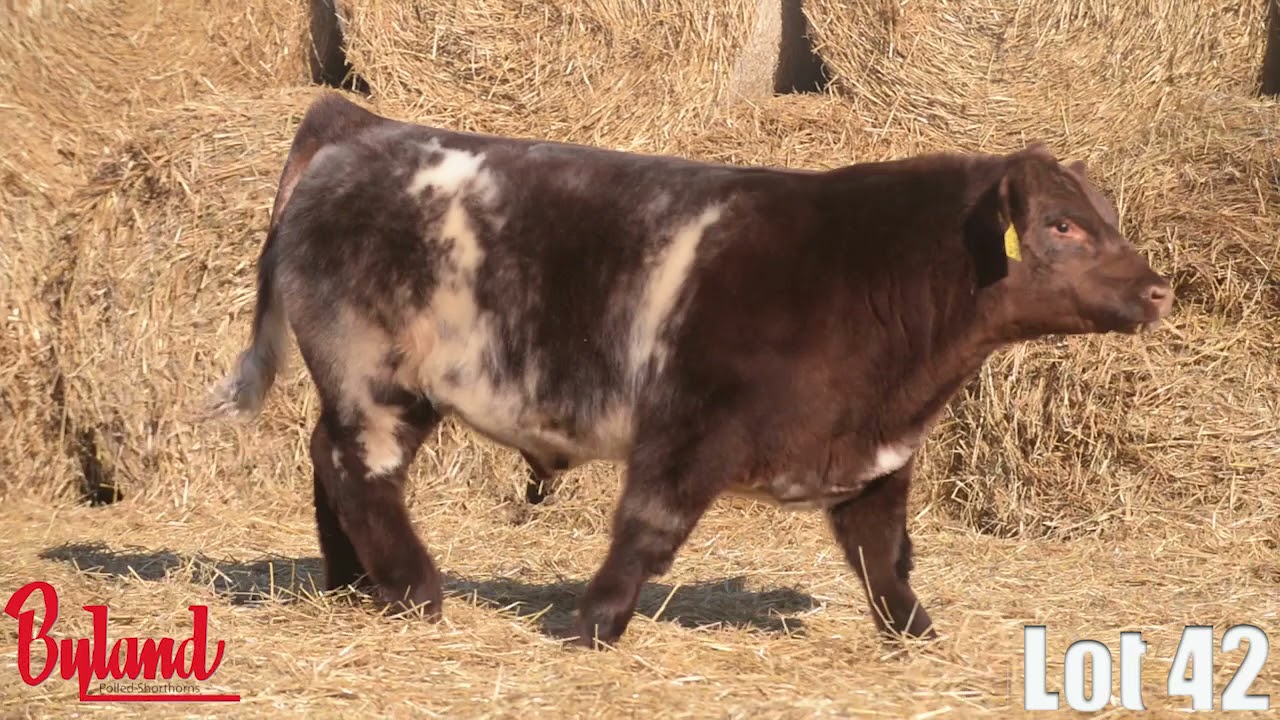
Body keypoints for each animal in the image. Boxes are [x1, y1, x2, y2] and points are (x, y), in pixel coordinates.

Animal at [207, 92, 1173, 649]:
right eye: (1061, 225)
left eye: (1106, 216)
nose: (1157, 287)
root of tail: (365, 131)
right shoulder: (688, 427)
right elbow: (647, 531)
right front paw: (593, 627)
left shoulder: (876, 456)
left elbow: (884, 558)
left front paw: (918, 638)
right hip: (374, 375)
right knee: (357, 469)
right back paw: (415, 593)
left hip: (374, 386)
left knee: (326, 461)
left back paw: (353, 586)